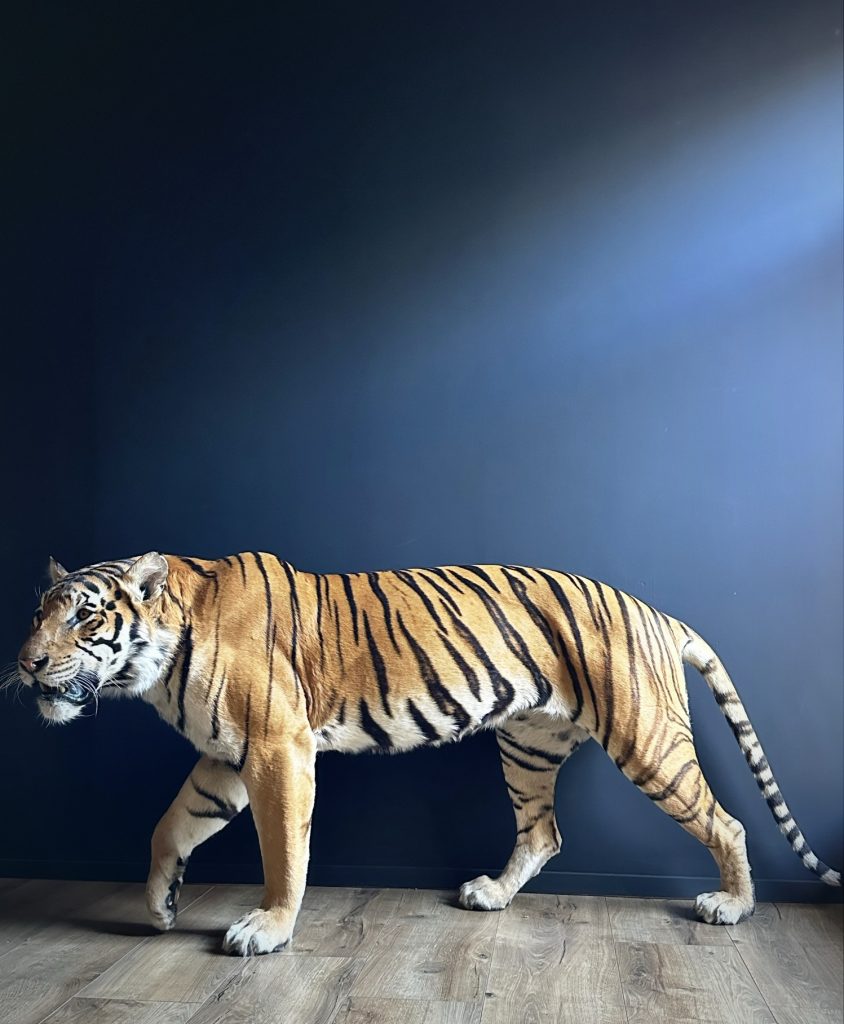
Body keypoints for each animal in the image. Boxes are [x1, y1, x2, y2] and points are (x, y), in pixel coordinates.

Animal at [14, 551, 840, 955]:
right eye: (36, 615)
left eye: (84, 618)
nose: (25, 664)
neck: (157, 668)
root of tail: (660, 614)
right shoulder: (228, 755)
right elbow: (169, 826)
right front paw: (160, 906)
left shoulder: (277, 748)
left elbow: (283, 849)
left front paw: (268, 928)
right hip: (527, 746)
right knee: (544, 832)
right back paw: (492, 894)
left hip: (648, 743)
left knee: (726, 822)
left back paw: (731, 906)